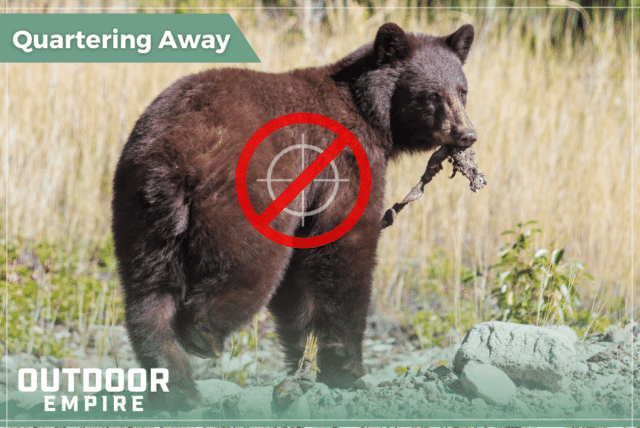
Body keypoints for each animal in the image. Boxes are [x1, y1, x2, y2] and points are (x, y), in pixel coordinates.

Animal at [112, 21, 476, 411]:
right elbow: (345, 250)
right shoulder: (345, 165)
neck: (371, 115)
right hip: (246, 198)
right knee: (249, 266)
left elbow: (300, 282)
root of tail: (172, 155)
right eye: (431, 95)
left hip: (139, 212)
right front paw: (348, 368)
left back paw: (177, 387)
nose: (466, 134)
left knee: (148, 296)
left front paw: (306, 362)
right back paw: (200, 337)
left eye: (462, 90)